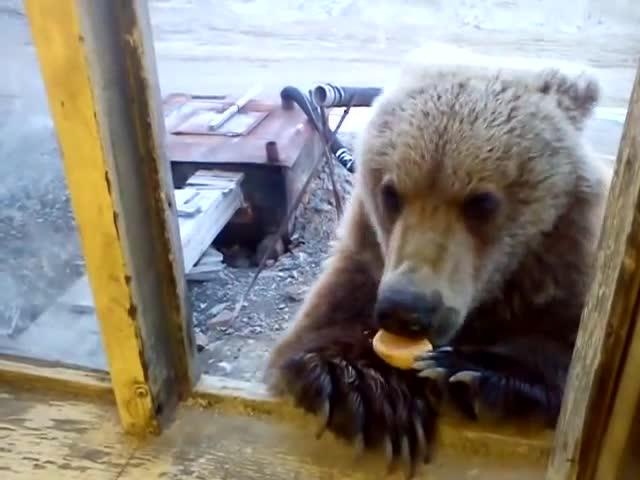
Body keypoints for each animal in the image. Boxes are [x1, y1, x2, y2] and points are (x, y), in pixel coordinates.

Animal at [265, 56, 610, 476]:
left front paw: (470, 369)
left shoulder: (564, 270)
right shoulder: (365, 263)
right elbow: (314, 335)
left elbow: (568, 353)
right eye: (391, 193)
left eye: (481, 202)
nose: (405, 309)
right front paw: (369, 389)